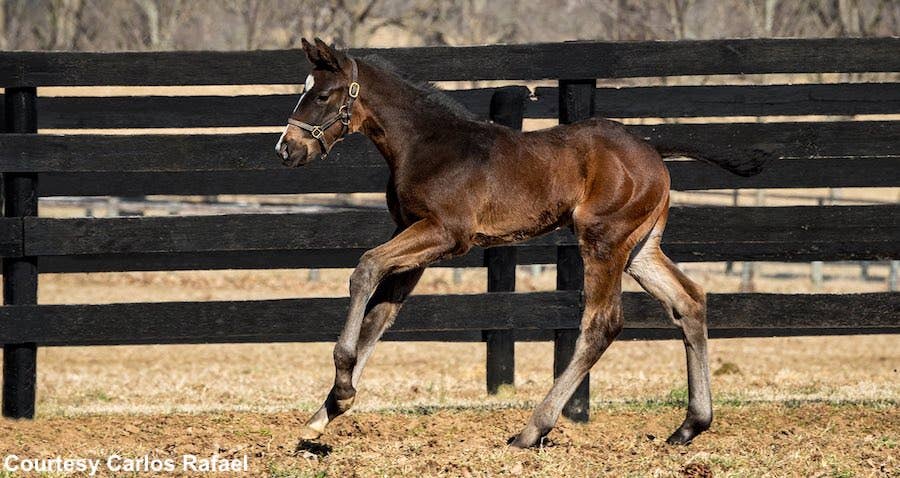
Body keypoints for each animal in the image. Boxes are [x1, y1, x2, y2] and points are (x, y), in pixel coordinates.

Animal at [275, 38, 767, 449]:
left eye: (322, 95)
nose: (287, 149)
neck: (426, 145)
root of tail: (653, 150)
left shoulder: (447, 234)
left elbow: (365, 269)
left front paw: (341, 388)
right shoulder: (415, 238)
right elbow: (381, 315)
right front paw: (326, 412)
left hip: (604, 241)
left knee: (602, 324)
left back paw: (532, 430)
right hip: (640, 248)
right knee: (689, 301)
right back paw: (689, 426)